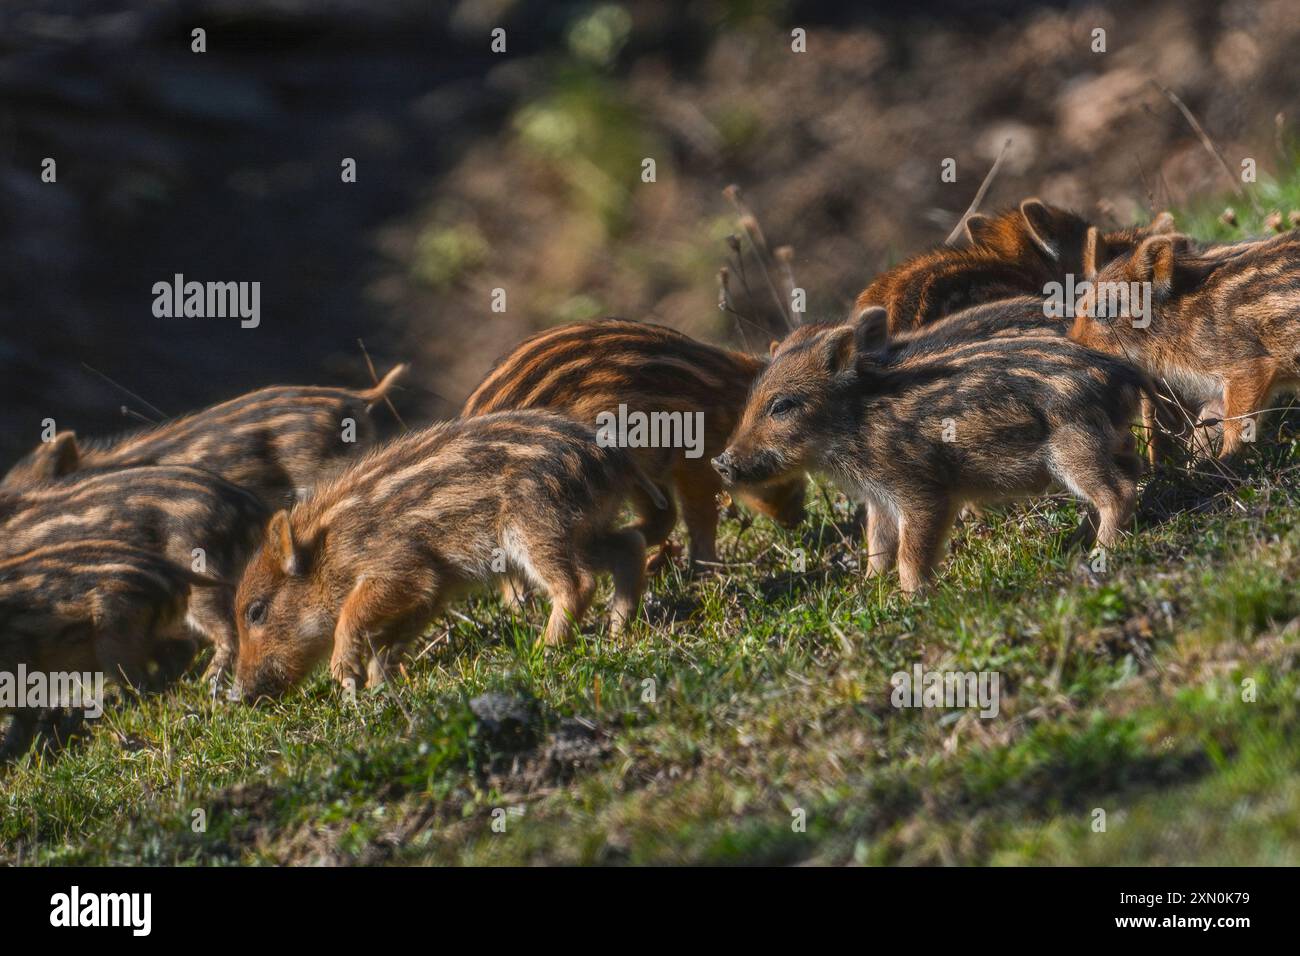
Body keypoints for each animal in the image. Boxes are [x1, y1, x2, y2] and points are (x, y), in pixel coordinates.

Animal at [232, 410, 659, 701]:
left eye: (256, 612)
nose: (240, 697)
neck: (330, 550)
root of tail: (614, 458)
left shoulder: (401, 567)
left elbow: (354, 612)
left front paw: (344, 672)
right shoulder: (432, 591)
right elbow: (394, 638)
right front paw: (378, 684)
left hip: (535, 527)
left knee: (578, 583)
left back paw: (544, 649)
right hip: (585, 528)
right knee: (630, 544)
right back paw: (617, 628)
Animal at [713, 308, 1150, 592]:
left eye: (782, 406)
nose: (720, 461)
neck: (852, 424)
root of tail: (1125, 377)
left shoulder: (921, 490)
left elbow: (910, 552)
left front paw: (912, 599)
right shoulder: (878, 499)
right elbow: (878, 545)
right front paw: (868, 590)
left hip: (1074, 446)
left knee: (1119, 492)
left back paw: (1101, 553)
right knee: (1133, 471)